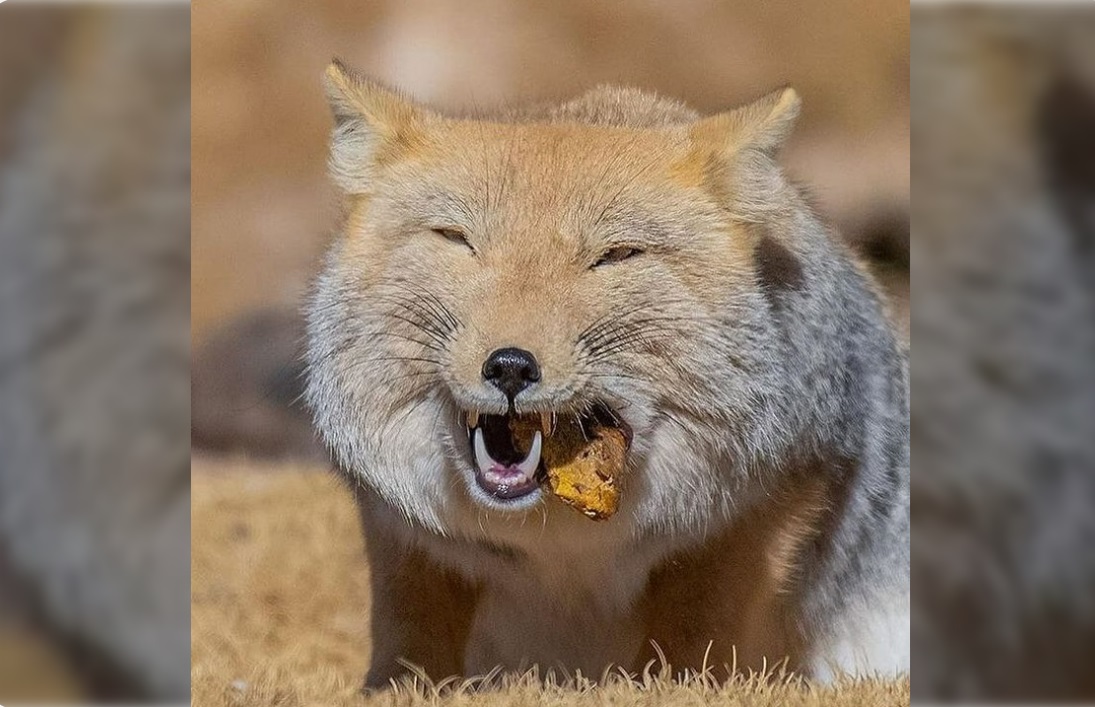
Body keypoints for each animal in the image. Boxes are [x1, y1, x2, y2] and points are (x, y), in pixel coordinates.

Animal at [305, 61, 909, 688]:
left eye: (616, 255)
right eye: (457, 238)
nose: (510, 365)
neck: (566, 560)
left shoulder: (751, 521)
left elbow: (697, 632)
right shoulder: (407, 542)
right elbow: (413, 643)